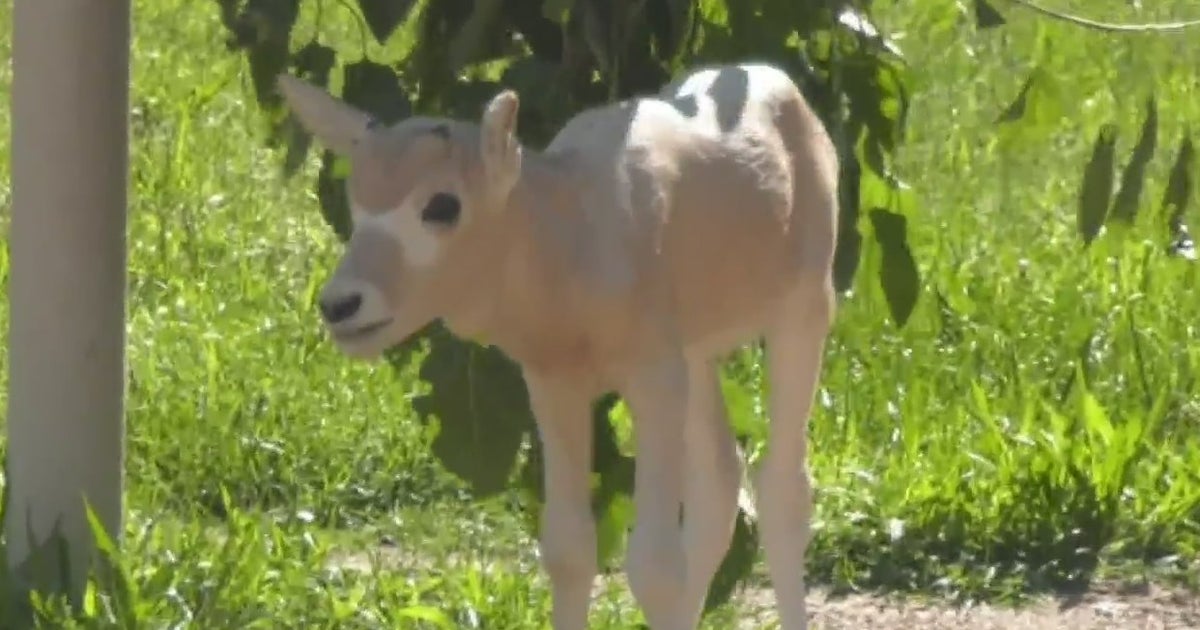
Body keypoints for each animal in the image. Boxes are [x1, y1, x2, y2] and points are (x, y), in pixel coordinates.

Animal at [277, 61, 837, 630]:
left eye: (441, 205)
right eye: (356, 202)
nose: (341, 305)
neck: (574, 230)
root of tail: (773, 84)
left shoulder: (653, 379)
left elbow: (655, 568)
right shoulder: (555, 386)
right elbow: (569, 552)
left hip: (801, 313)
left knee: (783, 493)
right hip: (696, 355)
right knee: (718, 488)